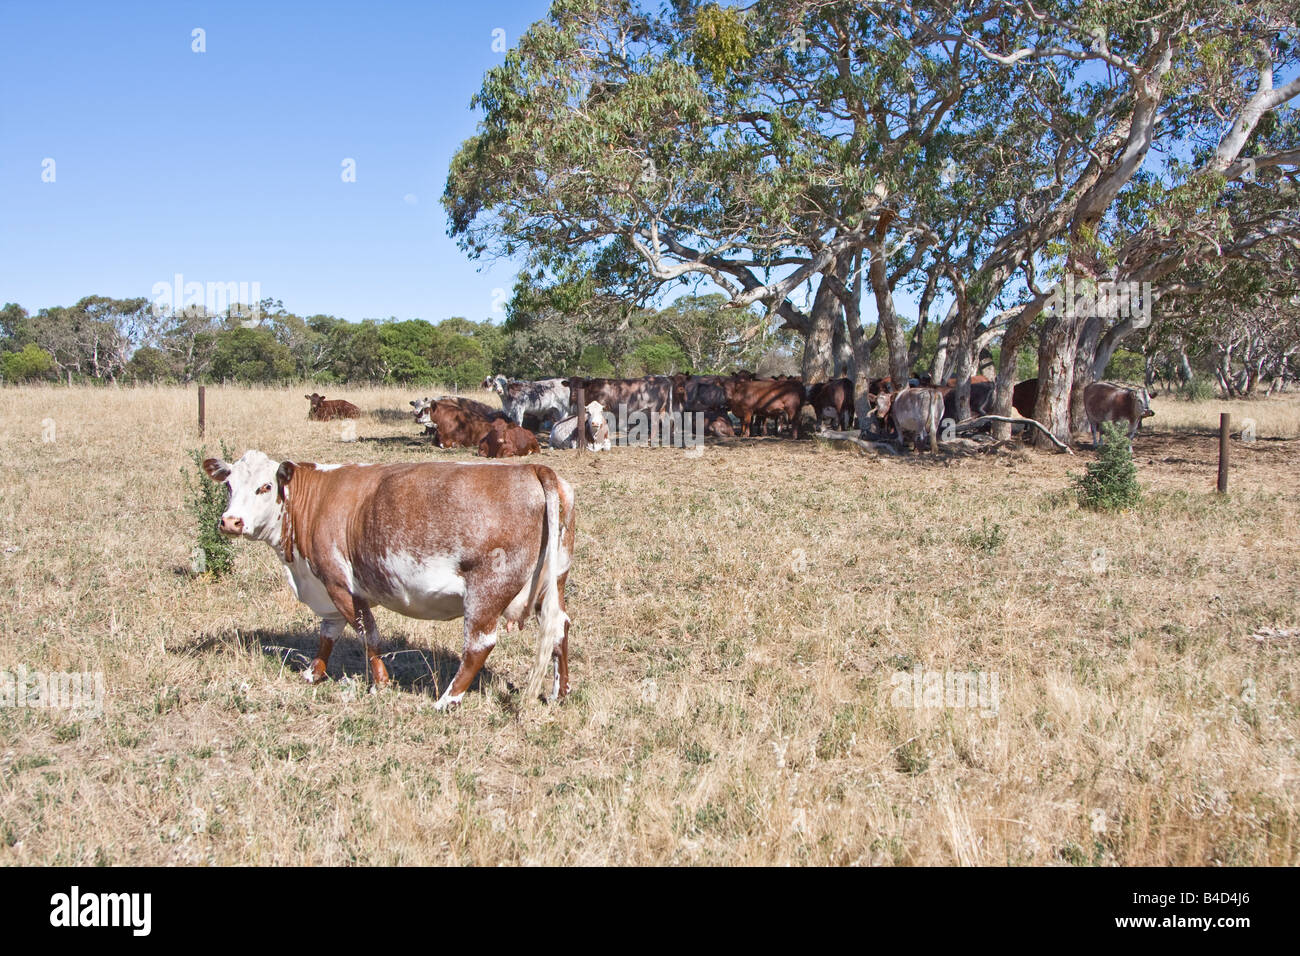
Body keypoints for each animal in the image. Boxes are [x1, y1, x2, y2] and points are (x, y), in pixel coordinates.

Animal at [202, 451, 576, 708]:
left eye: (265, 487)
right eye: (229, 485)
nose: (230, 521)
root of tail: (531, 468)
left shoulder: (339, 583)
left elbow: (368, 633)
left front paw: (380, 683)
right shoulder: (327, 587)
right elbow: (328, 633)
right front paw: (314, 673)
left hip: (486, 590)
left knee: (479, 644)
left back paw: (446, 700)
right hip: (553, 581)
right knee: (559, 626)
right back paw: (560, 693)